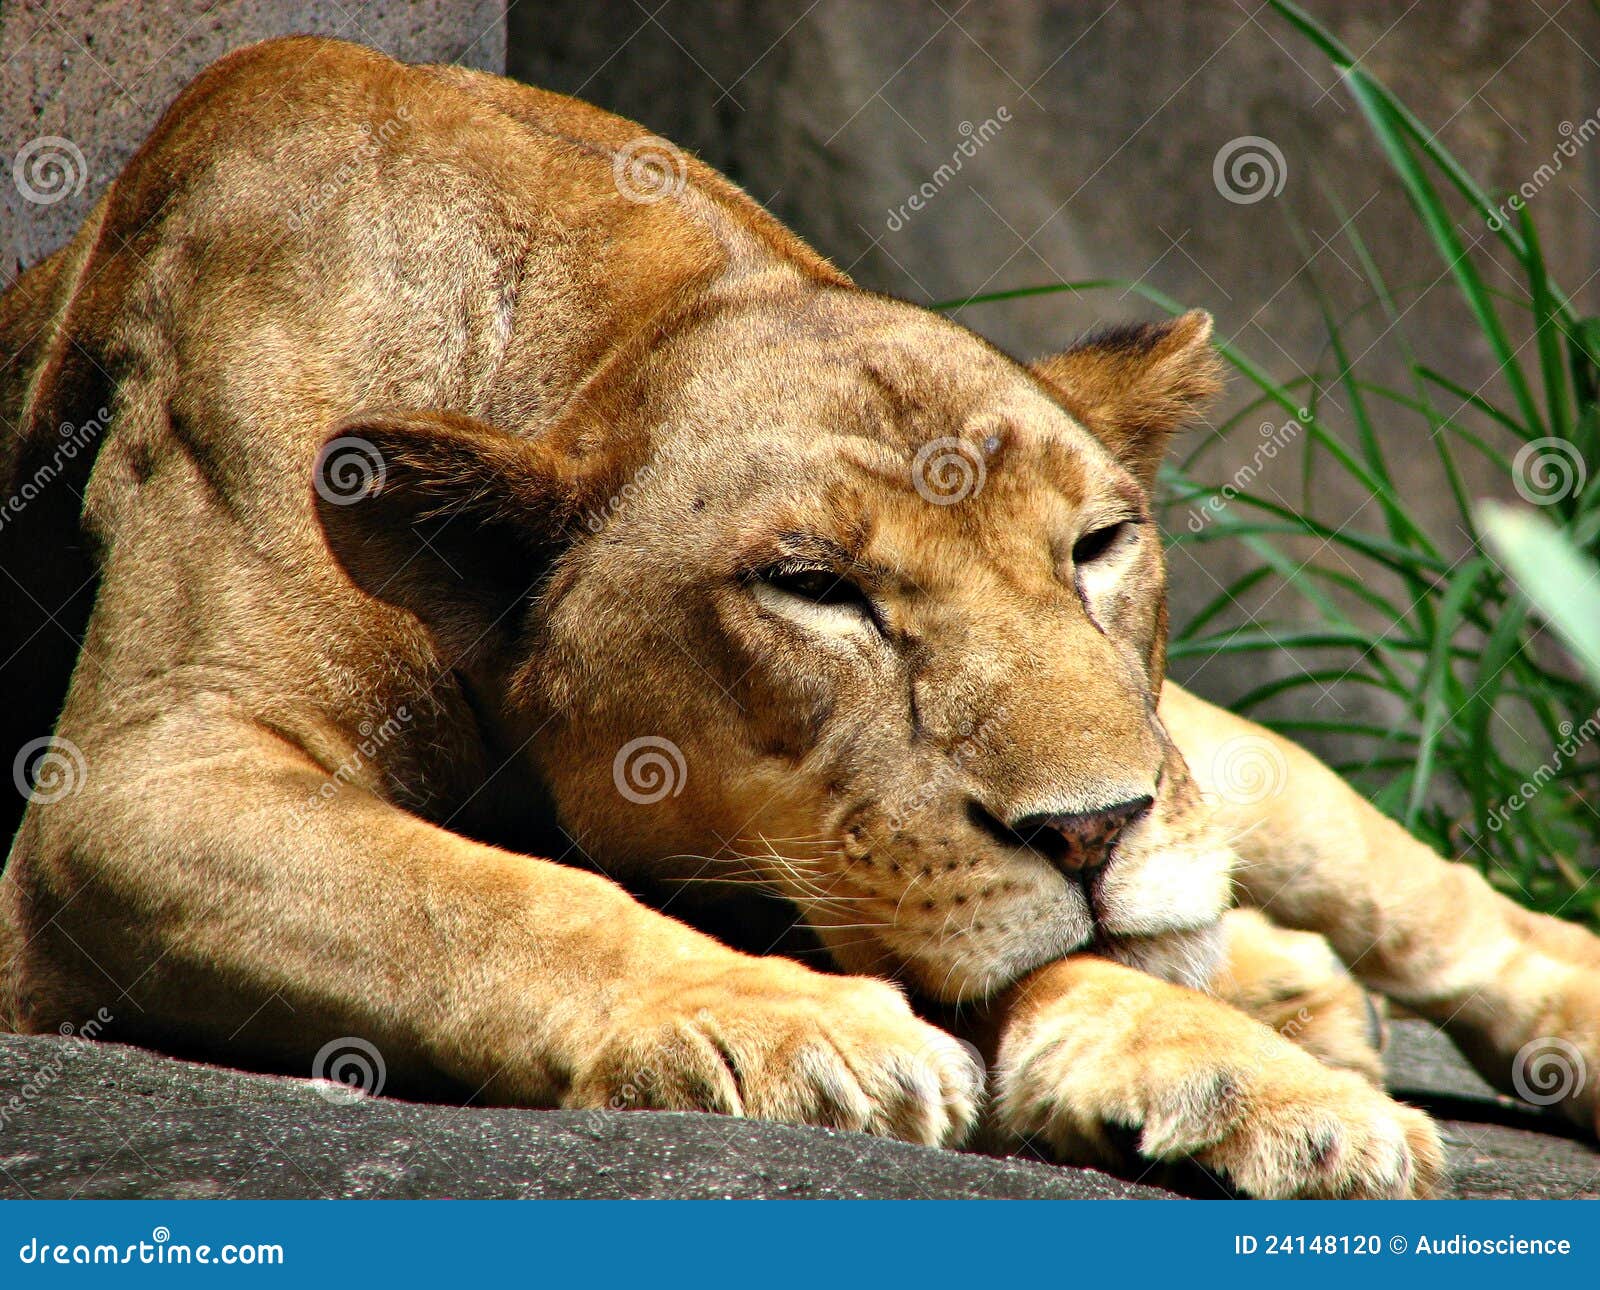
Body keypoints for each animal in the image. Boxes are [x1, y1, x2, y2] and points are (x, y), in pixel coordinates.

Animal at [1, 37, 1596, 1199]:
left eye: (1098, 544)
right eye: (815, 589)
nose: (1098, 830)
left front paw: (1251, 1084)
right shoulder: (140, 782)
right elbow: (486, 901)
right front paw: (789, 1026)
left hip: (1218, 761)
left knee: (1428, 898)